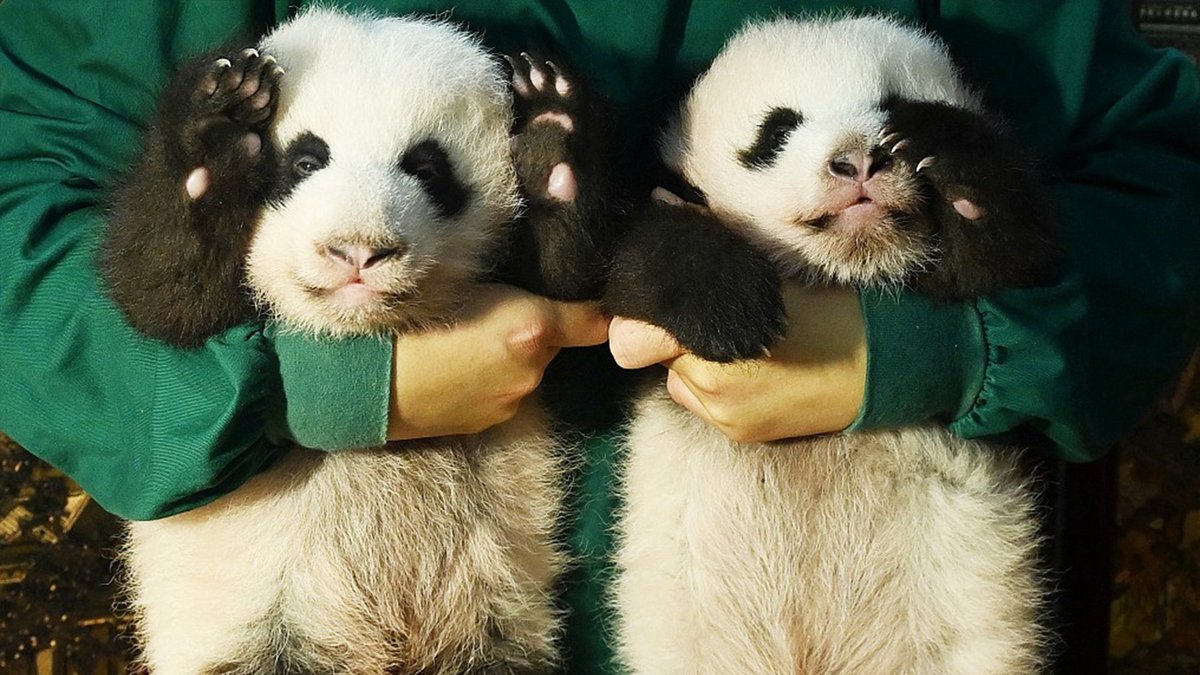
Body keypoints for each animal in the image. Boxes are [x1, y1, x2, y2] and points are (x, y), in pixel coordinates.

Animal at [102, 8, 613, 674]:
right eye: (305, 161)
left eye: (426, 169)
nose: (359, 252)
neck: (354, 326)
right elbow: (164, 293)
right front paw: (217, 134)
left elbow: (574, 274)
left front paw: (554, 132)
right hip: (261, 624)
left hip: (494, 614)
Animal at [604, 15, 1058, 675]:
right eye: (777, 130)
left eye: (893, 104)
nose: (859, 160)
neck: (845, 266)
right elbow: (620, 256)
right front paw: (731, 308)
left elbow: (1013, 257)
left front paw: (952, 163)